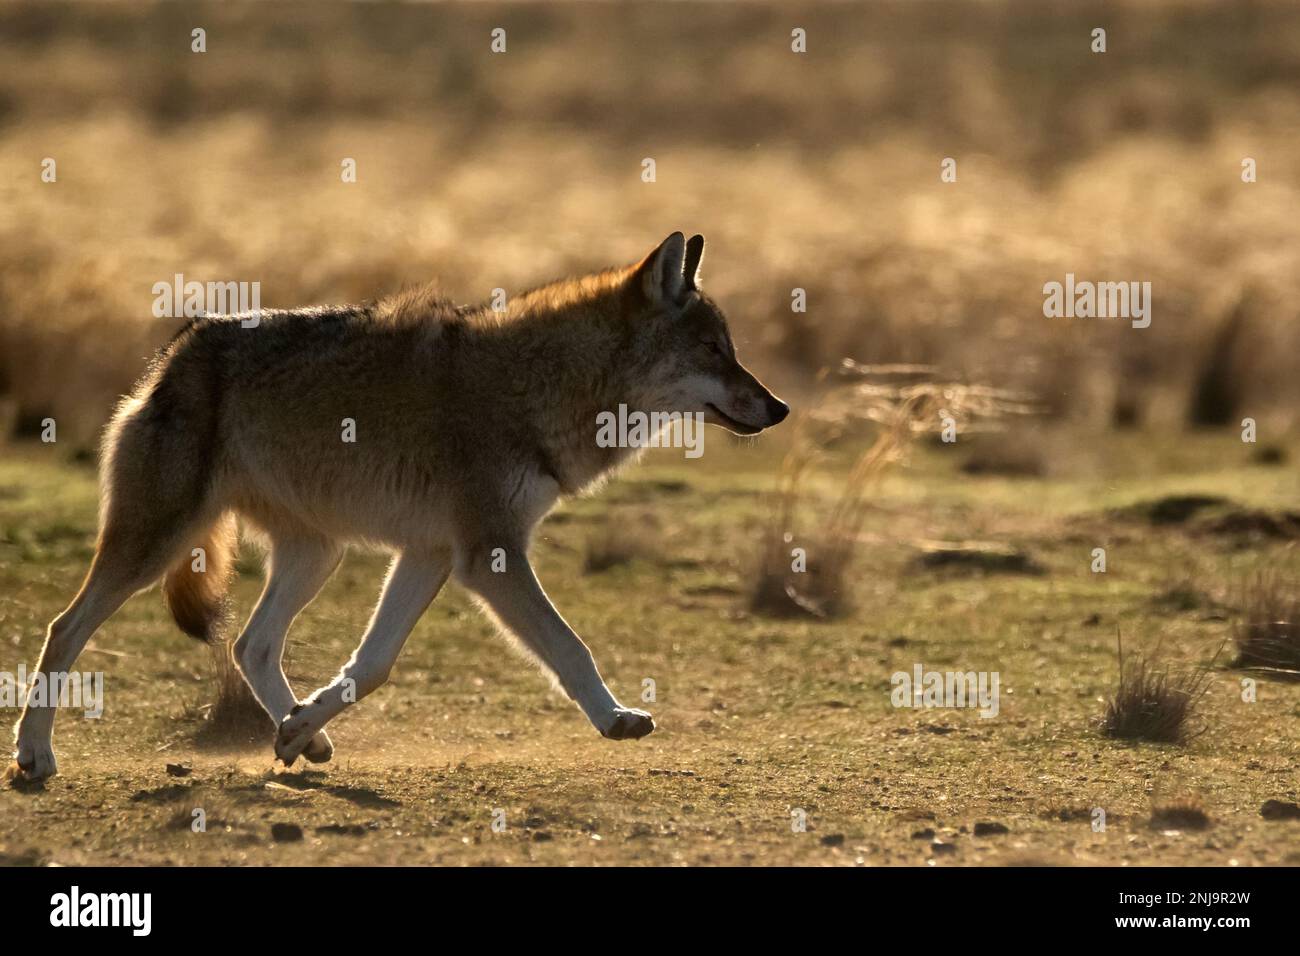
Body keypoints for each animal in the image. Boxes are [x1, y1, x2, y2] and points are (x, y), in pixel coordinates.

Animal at [10, 232, 788, 782]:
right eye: (716, 351)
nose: (779, 408)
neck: (542, 386)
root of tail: (174, 351)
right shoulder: (488, 557)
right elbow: (572, 648)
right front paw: (617, 718)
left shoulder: (431, 555)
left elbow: (374, 664)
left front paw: (298, 729)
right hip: (155, 547)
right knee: (61, 628)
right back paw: (34, 756)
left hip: (316, 555)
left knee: (249, 643)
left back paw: (306, 738)